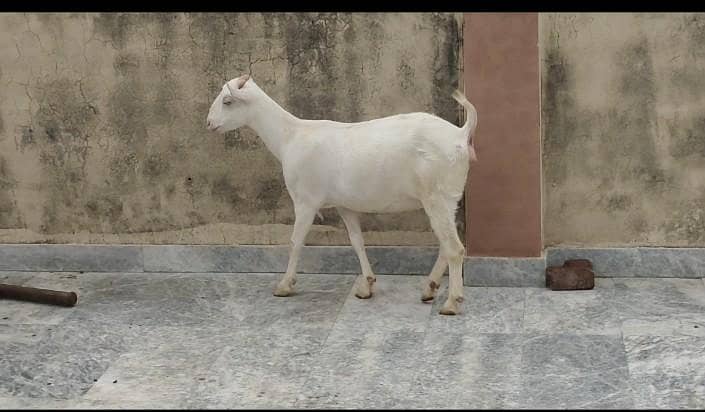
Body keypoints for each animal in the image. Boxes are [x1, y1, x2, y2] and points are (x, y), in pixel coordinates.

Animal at [206, 75, 478, 315]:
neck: (290, 136)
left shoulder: (306, 201)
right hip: (446, 199)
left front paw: (284, 285)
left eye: (227, 101)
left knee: (455, 248)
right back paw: (429, 289)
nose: (209, 123)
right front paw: (367, 285)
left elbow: (295, 241)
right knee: (446, 244)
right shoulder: (345, 205)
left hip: (437, 196)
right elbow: (357, 241)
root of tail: (460, 134)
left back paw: (451, 302)